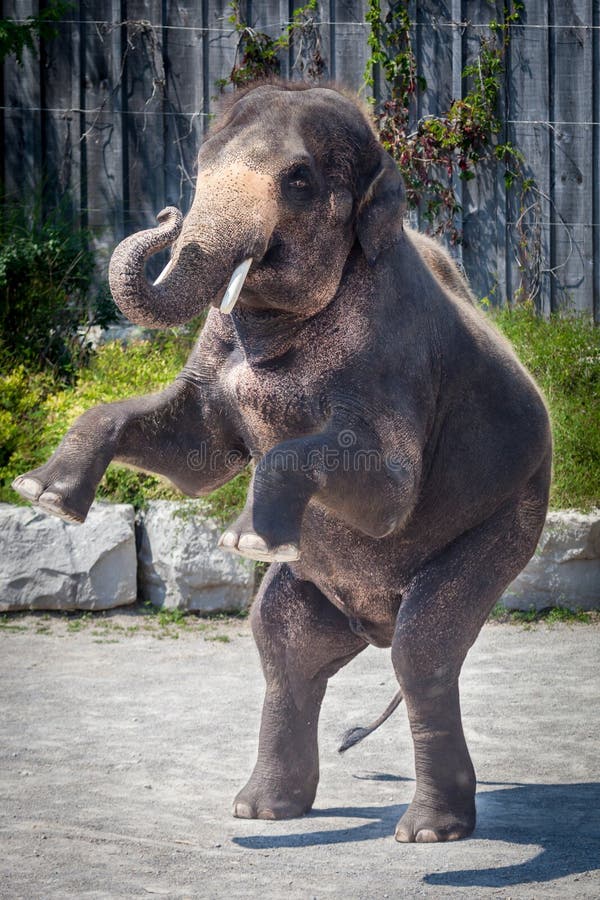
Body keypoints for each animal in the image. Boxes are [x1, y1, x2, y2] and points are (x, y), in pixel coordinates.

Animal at [13, 81, 551, 843]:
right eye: (201, 165)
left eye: (298, 180)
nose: (166, 215)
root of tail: (371, 623)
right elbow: (199, 451)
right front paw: (43, 496)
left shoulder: (397, 362)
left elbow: (389, 495)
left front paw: (245, 540)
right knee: (283, 645)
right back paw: (262, 811)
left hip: (508, 521)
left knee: (423, 651)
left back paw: (426, 832)